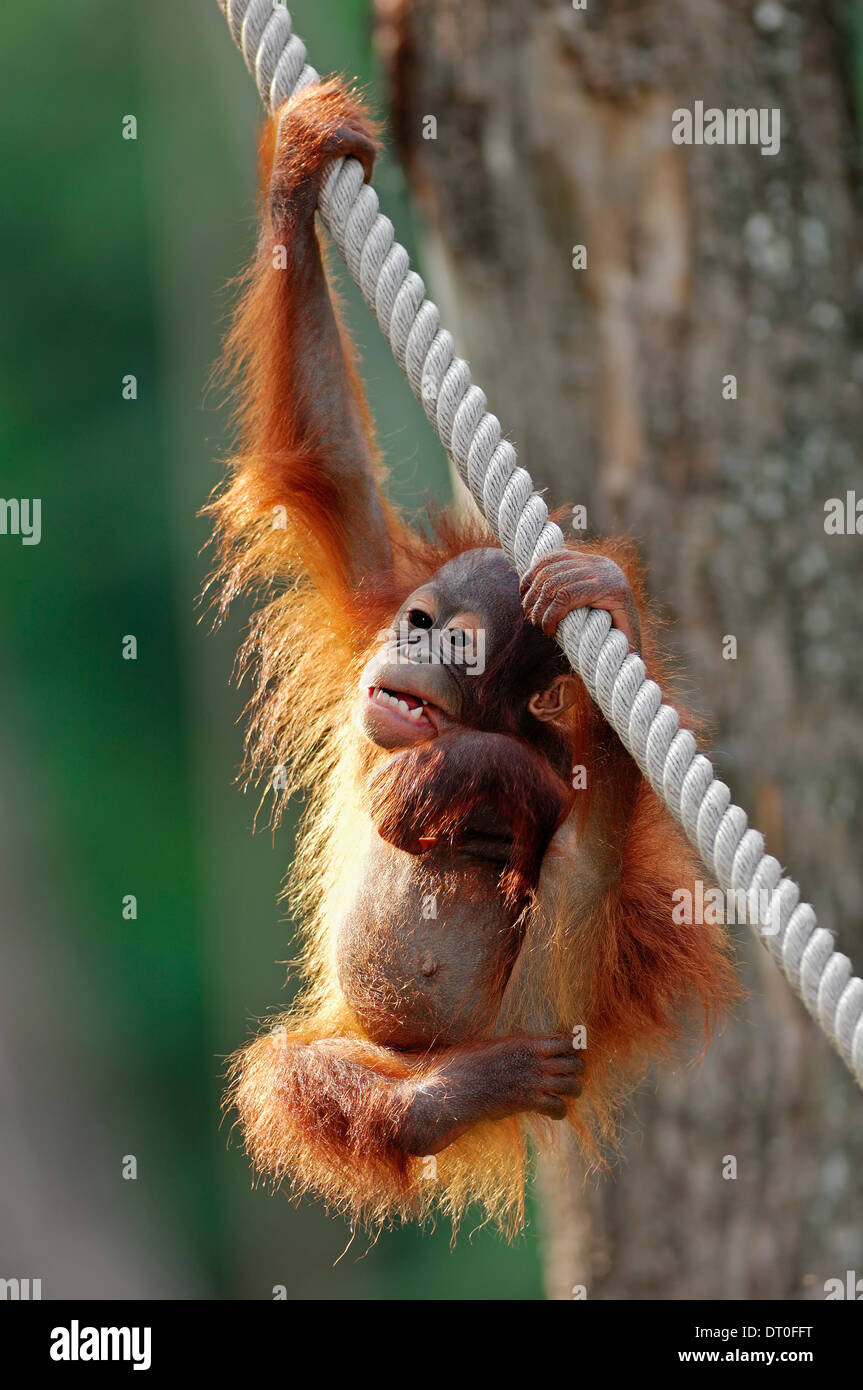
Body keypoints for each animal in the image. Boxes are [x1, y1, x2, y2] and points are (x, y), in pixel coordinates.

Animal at [208, 79, 737, 1233]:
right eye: (419, 618)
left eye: (460, 643)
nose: (414, 646)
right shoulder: (369, 598)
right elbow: (330, 464)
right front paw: (301, 164)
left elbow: (574, 809)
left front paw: (476, 767)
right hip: (403, 1053)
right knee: (291, 1076)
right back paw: (436, 1103)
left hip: (544, 1009)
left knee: (594, 835)